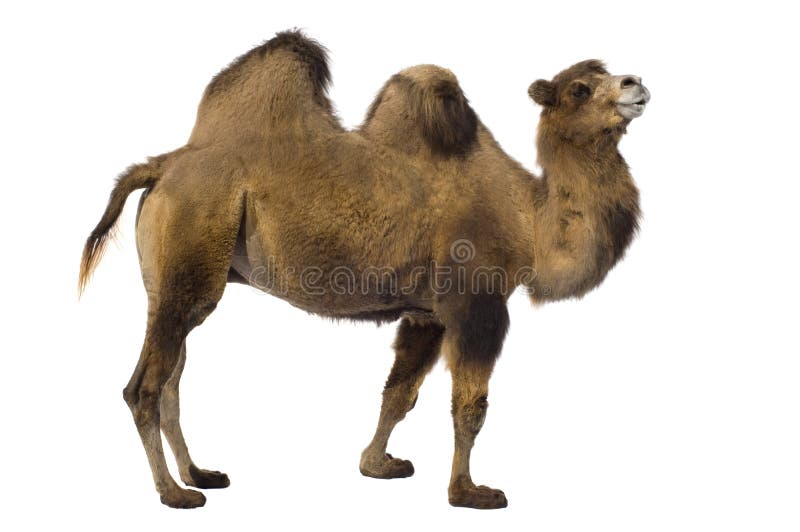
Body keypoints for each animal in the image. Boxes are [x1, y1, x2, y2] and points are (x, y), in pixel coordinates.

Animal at [79, 30, 649, 510]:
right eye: (579, 88)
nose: (636, 83)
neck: (529, 216)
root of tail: (160, 167)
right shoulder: (477, 302)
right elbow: (471, 406)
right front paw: (468, 492)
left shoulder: (427, 313)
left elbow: (399, 393)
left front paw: (377, 464)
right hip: (192, 246)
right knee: (144, 387)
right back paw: (174, 494)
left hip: (177, 279)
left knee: (172, 378)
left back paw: (199, 473)